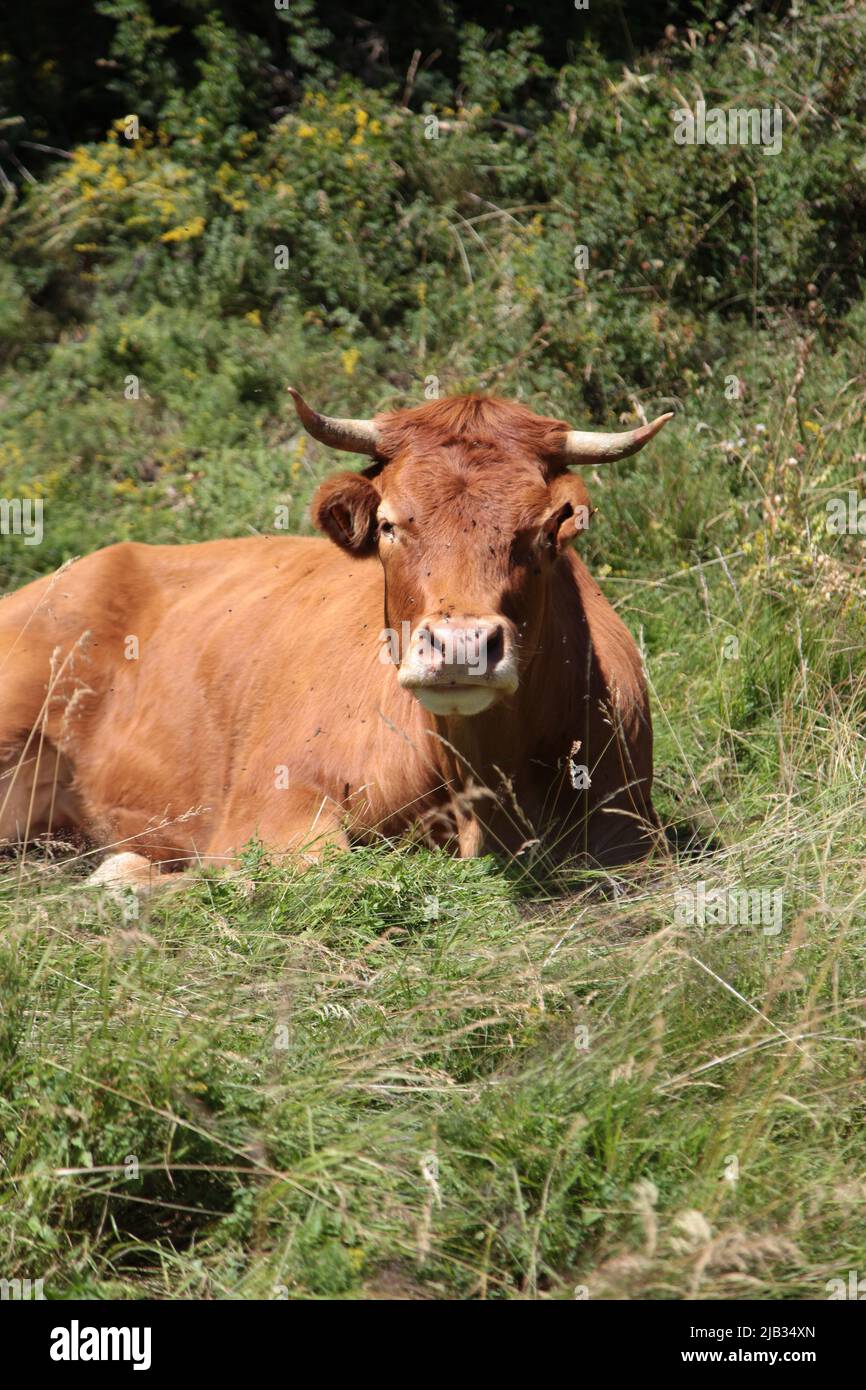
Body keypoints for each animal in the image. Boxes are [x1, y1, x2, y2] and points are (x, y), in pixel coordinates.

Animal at [0, 391, 671, 889]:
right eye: (389, 525)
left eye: (540, 532)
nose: (460, 647)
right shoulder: (273, 802)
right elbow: (309, 872)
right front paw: (130, 877)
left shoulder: (634, 831)